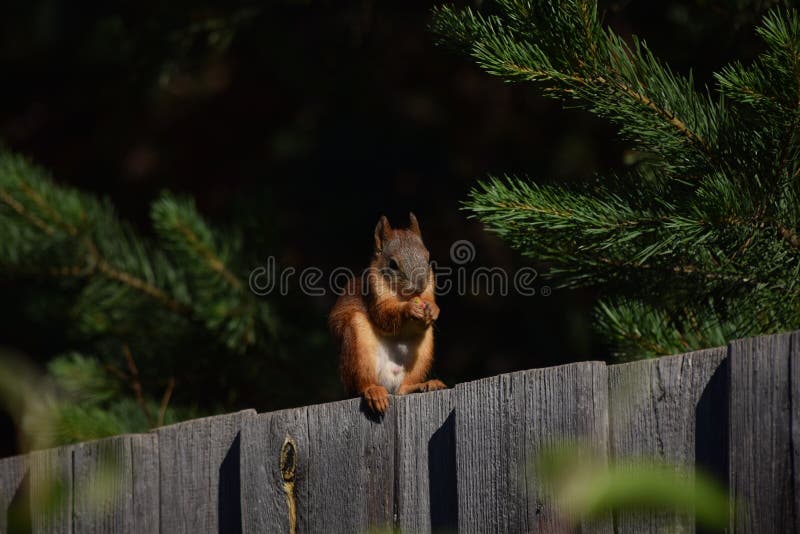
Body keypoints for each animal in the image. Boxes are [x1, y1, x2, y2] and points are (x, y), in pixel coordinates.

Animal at [329, 213, 446, 414]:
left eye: (428, 258)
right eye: (393, 264)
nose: (420, 285)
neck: (402, 295)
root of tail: (388, 382)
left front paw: (434, 309)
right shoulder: (373, 294)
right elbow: (383, 316)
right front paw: (408, 309)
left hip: (420, 357)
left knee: (403, 389)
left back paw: (422, 385)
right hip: (358, 347)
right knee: (363, 383)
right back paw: (373, 391)